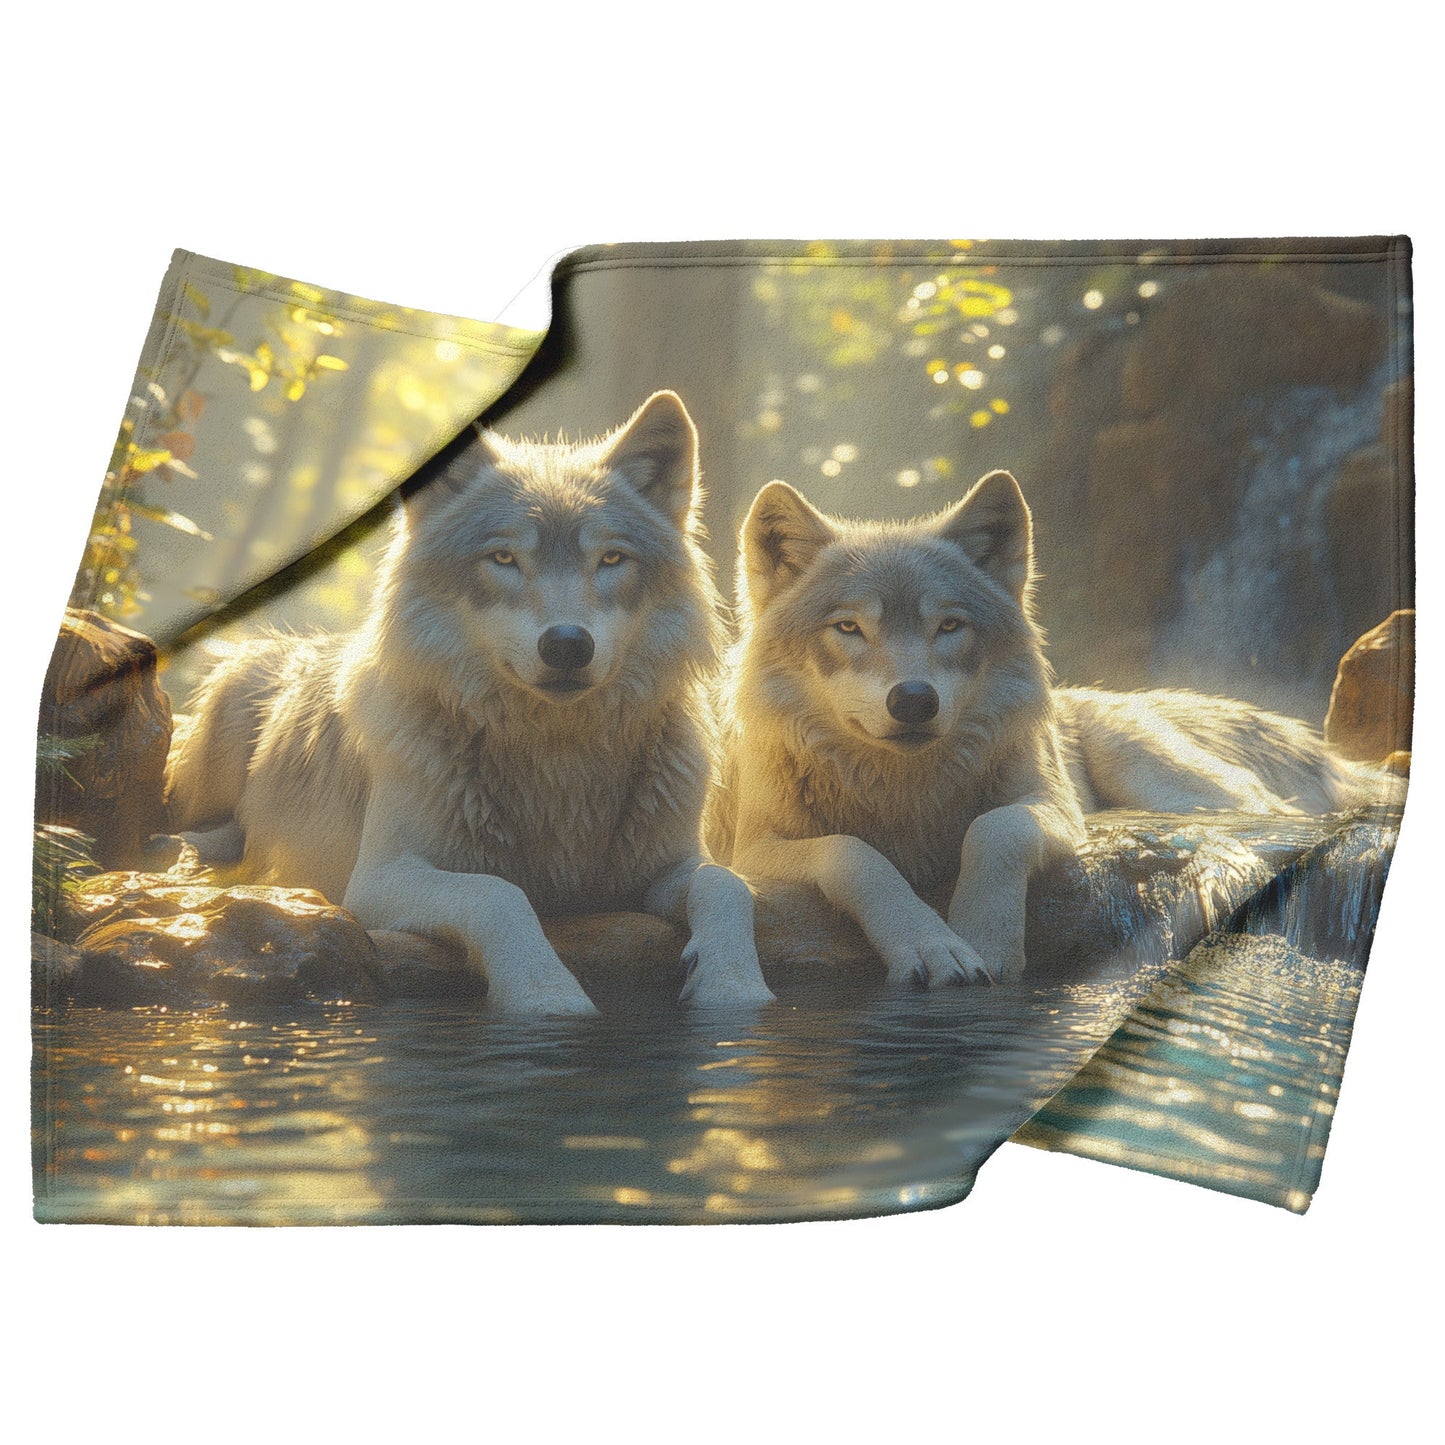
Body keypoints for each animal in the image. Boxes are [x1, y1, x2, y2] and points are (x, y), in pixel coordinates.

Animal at [167, 391, 774, 1015]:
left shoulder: (672, 864)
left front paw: (733, 985)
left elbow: (727, 886)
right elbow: (497, 895)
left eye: (610, 559)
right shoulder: (378, 878)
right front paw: (545, 992)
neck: (557, 762)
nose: (567, 644)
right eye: (504, 558)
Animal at [714, 471, 1383, 986]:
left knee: (1277, 813)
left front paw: (983, 939)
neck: (905, 792)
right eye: (849, 628)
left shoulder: (1051, 805)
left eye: (949, 626)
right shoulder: (753, 849)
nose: (913, 700)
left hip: (1161, 777)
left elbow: (994, 830)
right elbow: (855, 854)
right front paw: (930, 944)